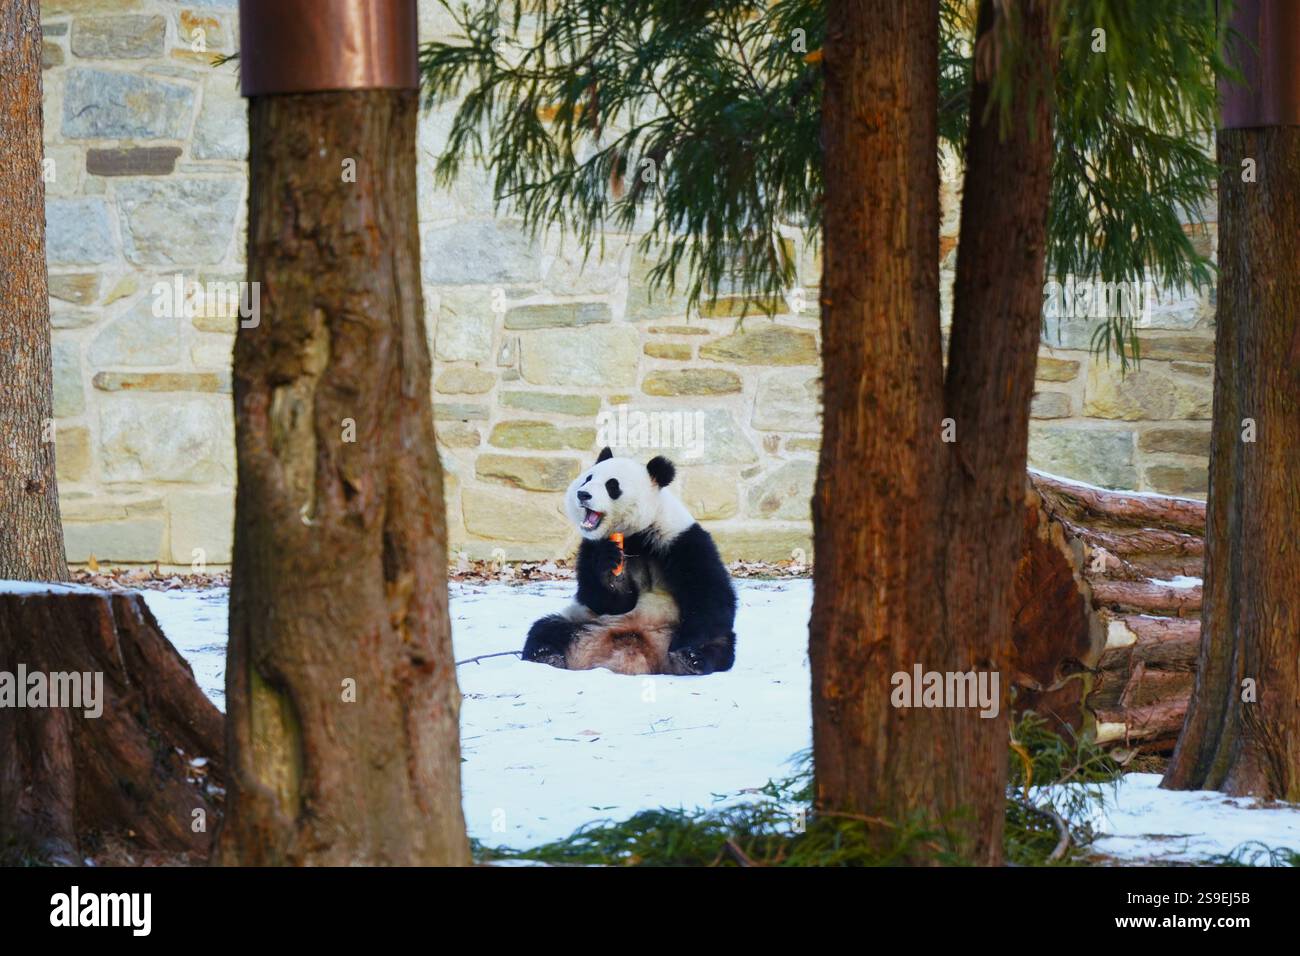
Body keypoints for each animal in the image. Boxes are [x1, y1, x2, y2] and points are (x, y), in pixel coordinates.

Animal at [522, 447, 737, 676]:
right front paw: (611, 568)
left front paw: (687, 646)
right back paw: (546, 655)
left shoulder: (682, 539)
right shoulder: (590, 547)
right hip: (585, 621)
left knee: (720, 643)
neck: (634, 536)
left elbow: (710, 595)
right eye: (588, 478)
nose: (583, 494)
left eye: (612, 485)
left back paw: (691, 659)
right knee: (546, 627)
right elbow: (605, 601)